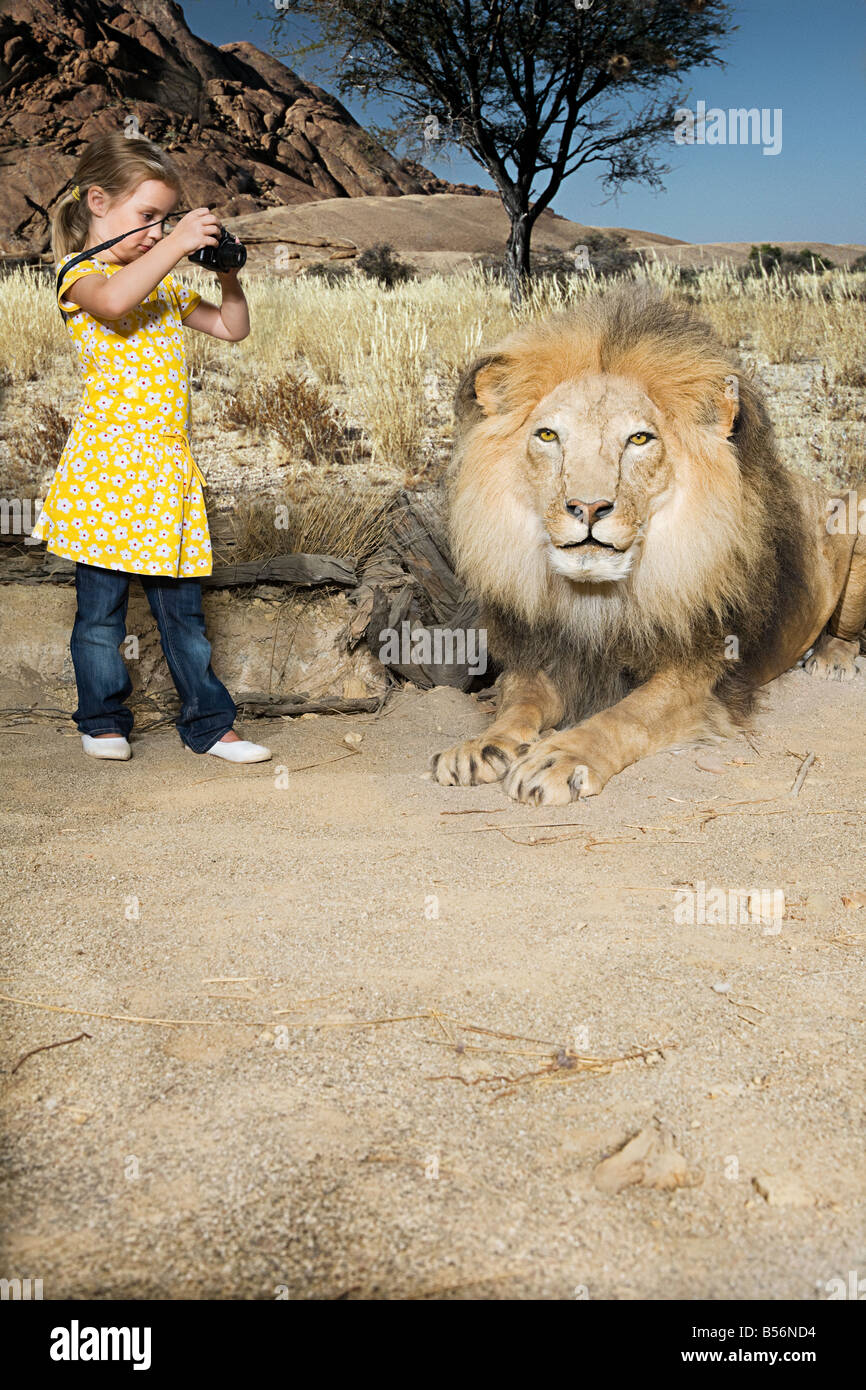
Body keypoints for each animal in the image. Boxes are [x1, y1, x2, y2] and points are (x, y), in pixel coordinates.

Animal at [431, 290, 866, 804]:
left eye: (639, 439)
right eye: (548, 435)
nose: (589, 506)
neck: (596, 598)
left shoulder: (699, 673)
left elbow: (626, 715)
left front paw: (560, 758)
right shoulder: (540, 654)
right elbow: (518, 701)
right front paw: (480, 746)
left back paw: (831, 660)